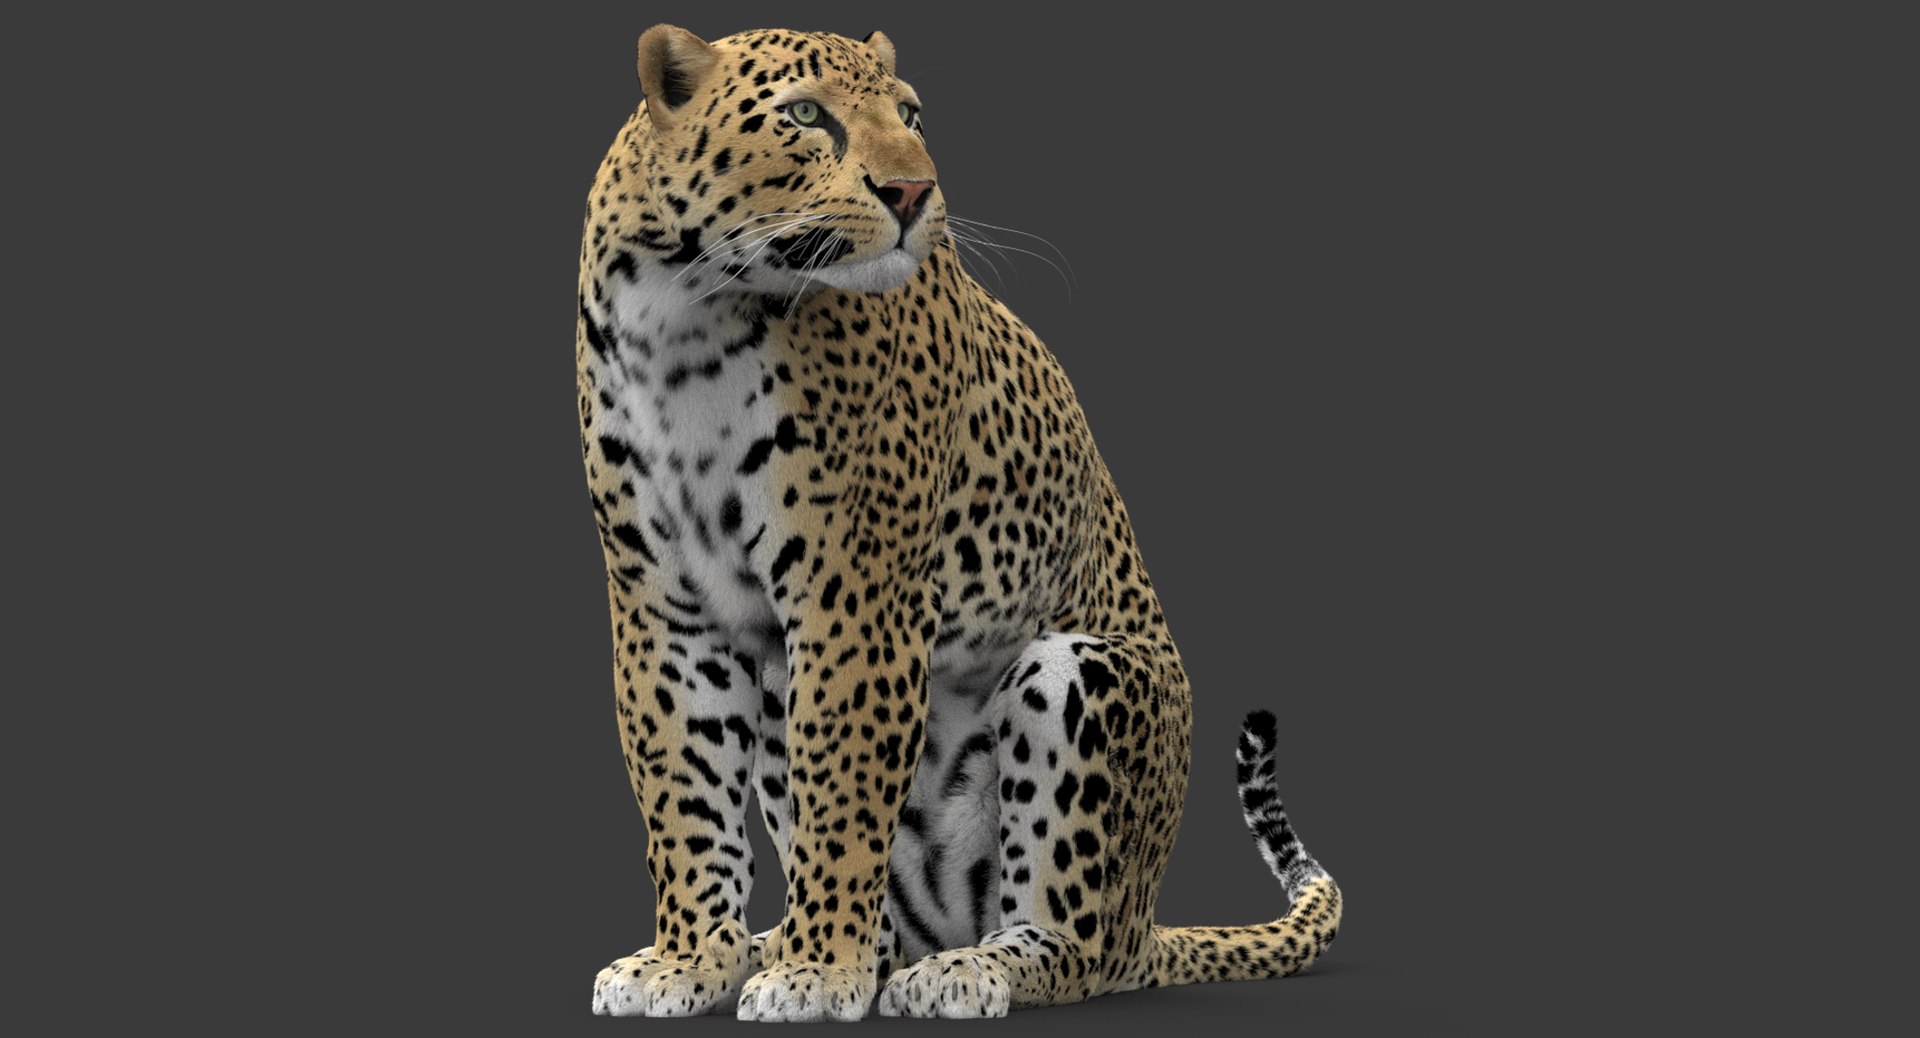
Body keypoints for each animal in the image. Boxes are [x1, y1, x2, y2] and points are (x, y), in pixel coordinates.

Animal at [577, 24, 1342, 1022]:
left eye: (910, 116)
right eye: (805, 114)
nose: (912, 193)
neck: (690, 313)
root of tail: (1148, 922)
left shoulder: (856, 597)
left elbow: (843, 800)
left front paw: (816, 974)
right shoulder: (665, 607)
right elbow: (684, 790)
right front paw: (689, 960)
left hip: (1075, 672)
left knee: (1072, 944)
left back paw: (958, 969)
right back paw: (788, 944)